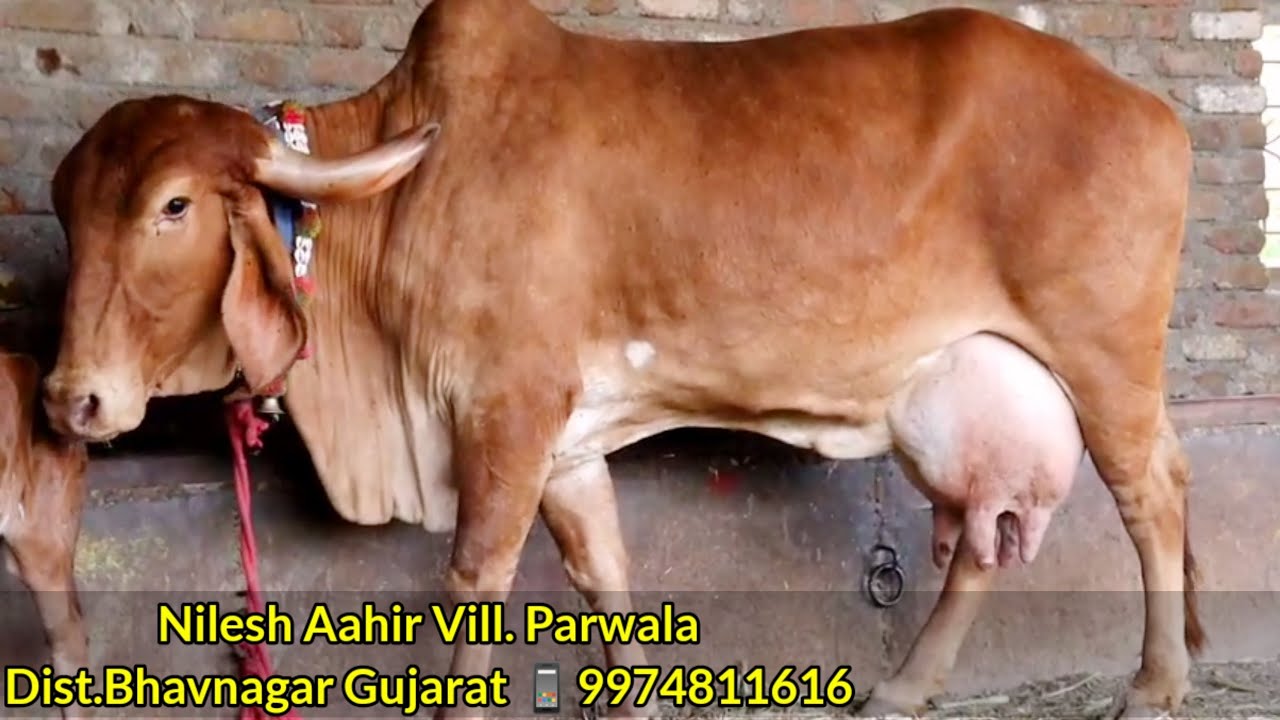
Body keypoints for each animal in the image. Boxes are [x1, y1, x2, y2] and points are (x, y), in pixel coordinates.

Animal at [40, 1, 1201, 717]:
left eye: (172, 206)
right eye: (64, 207)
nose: (71, 398)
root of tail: (1151, 109)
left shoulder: (504, 413)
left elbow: (475, 579)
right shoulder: (567, 444)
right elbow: (605, 582)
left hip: (1105, 362)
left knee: (1151, 497)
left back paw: (1155, 684)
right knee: (989, 538)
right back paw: (909, 688)